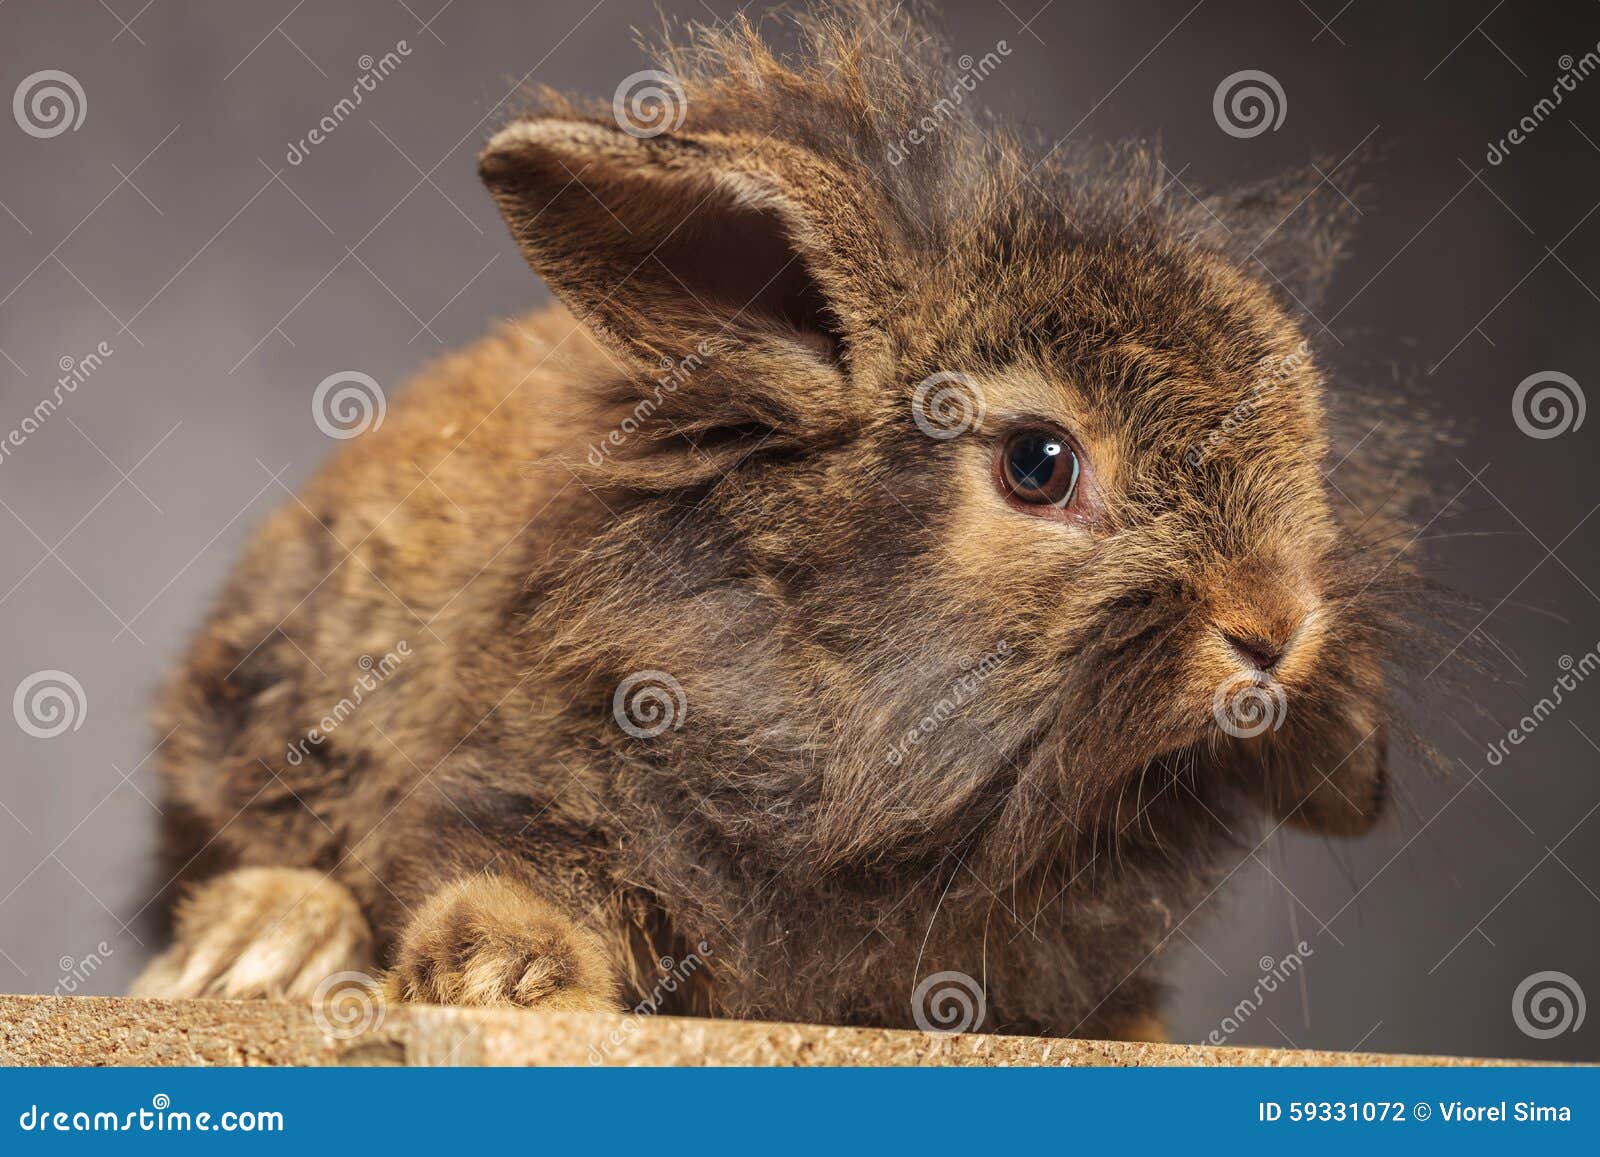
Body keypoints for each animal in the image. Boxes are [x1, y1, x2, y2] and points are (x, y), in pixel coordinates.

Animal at [132, 0, 1449, 1040]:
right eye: (1038, 463)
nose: (1275, 628)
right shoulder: (515, 793)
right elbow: (502, 885)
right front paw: (506, 982)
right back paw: (257, 949)